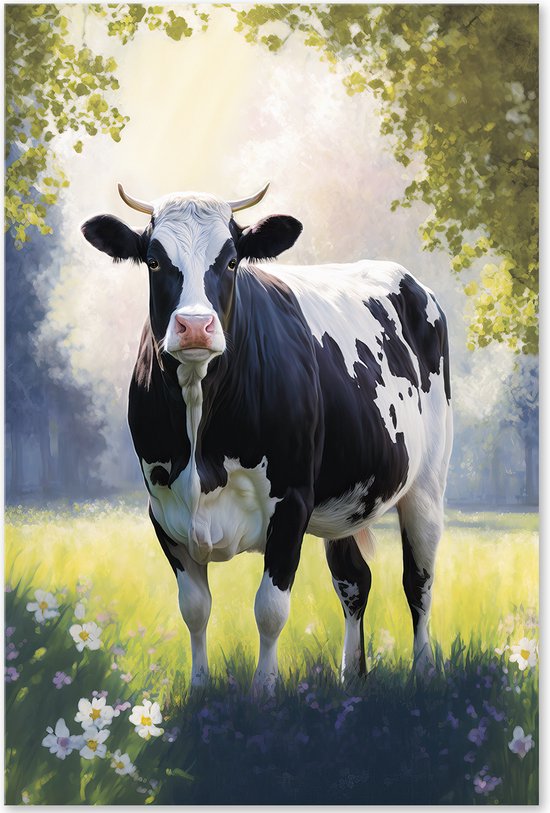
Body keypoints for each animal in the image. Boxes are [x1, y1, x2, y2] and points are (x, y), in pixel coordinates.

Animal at [82, 183, 452, 694]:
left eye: (232, 261)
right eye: (154, 261)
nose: (195, 326)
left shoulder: (293, 500)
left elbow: (270, 610)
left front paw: (264, 693)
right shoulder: (162, 509)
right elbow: (194, 608)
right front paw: (200, 690)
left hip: (426, 484)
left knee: (419, 581)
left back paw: (423, 673)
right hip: (343, 502)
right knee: (354, 582)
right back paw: (351, 679)